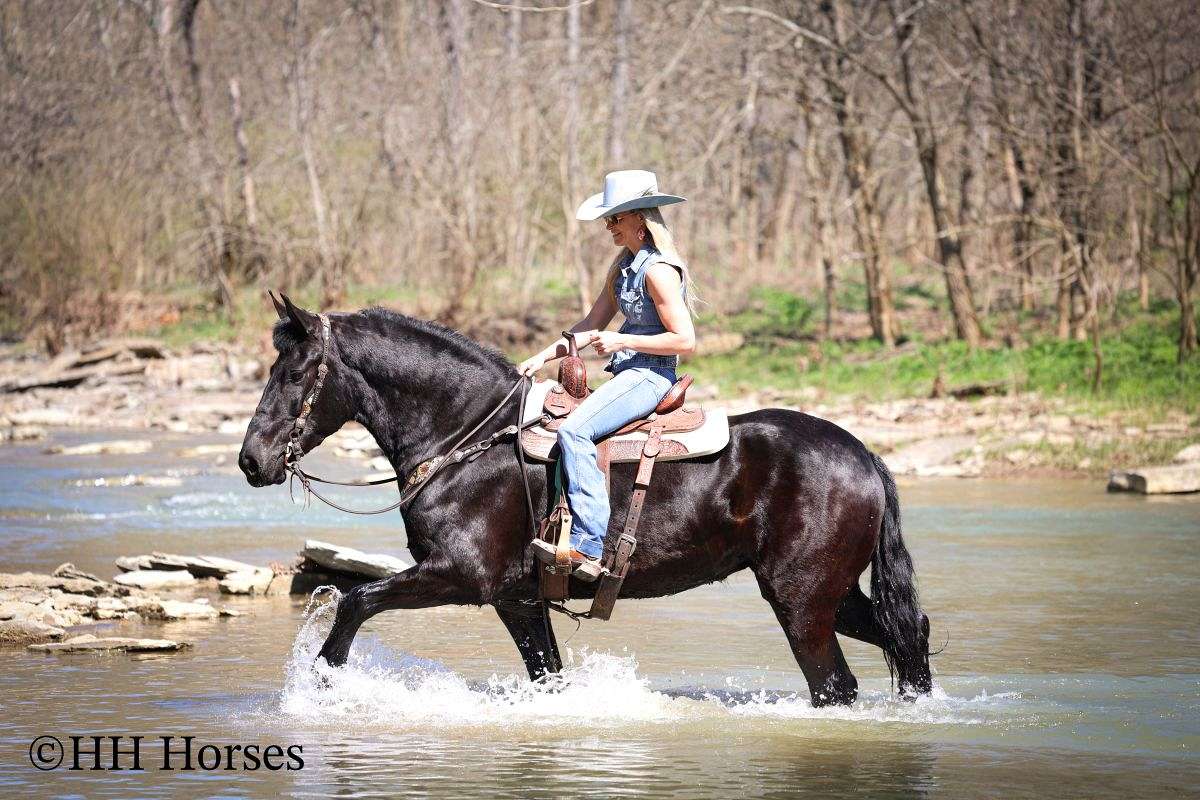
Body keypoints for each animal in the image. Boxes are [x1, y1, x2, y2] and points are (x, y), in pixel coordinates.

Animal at [238, 295, 933, 706]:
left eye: (292, 373)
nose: (251, 460)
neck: (467, 436)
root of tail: (863, 456)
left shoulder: (460, 576)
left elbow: (355, 600)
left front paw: (321, 683)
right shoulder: (517, 598)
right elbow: (547, 676)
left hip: (801, 599)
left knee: (836, 685)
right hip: (833, 594)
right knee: (907, 637)